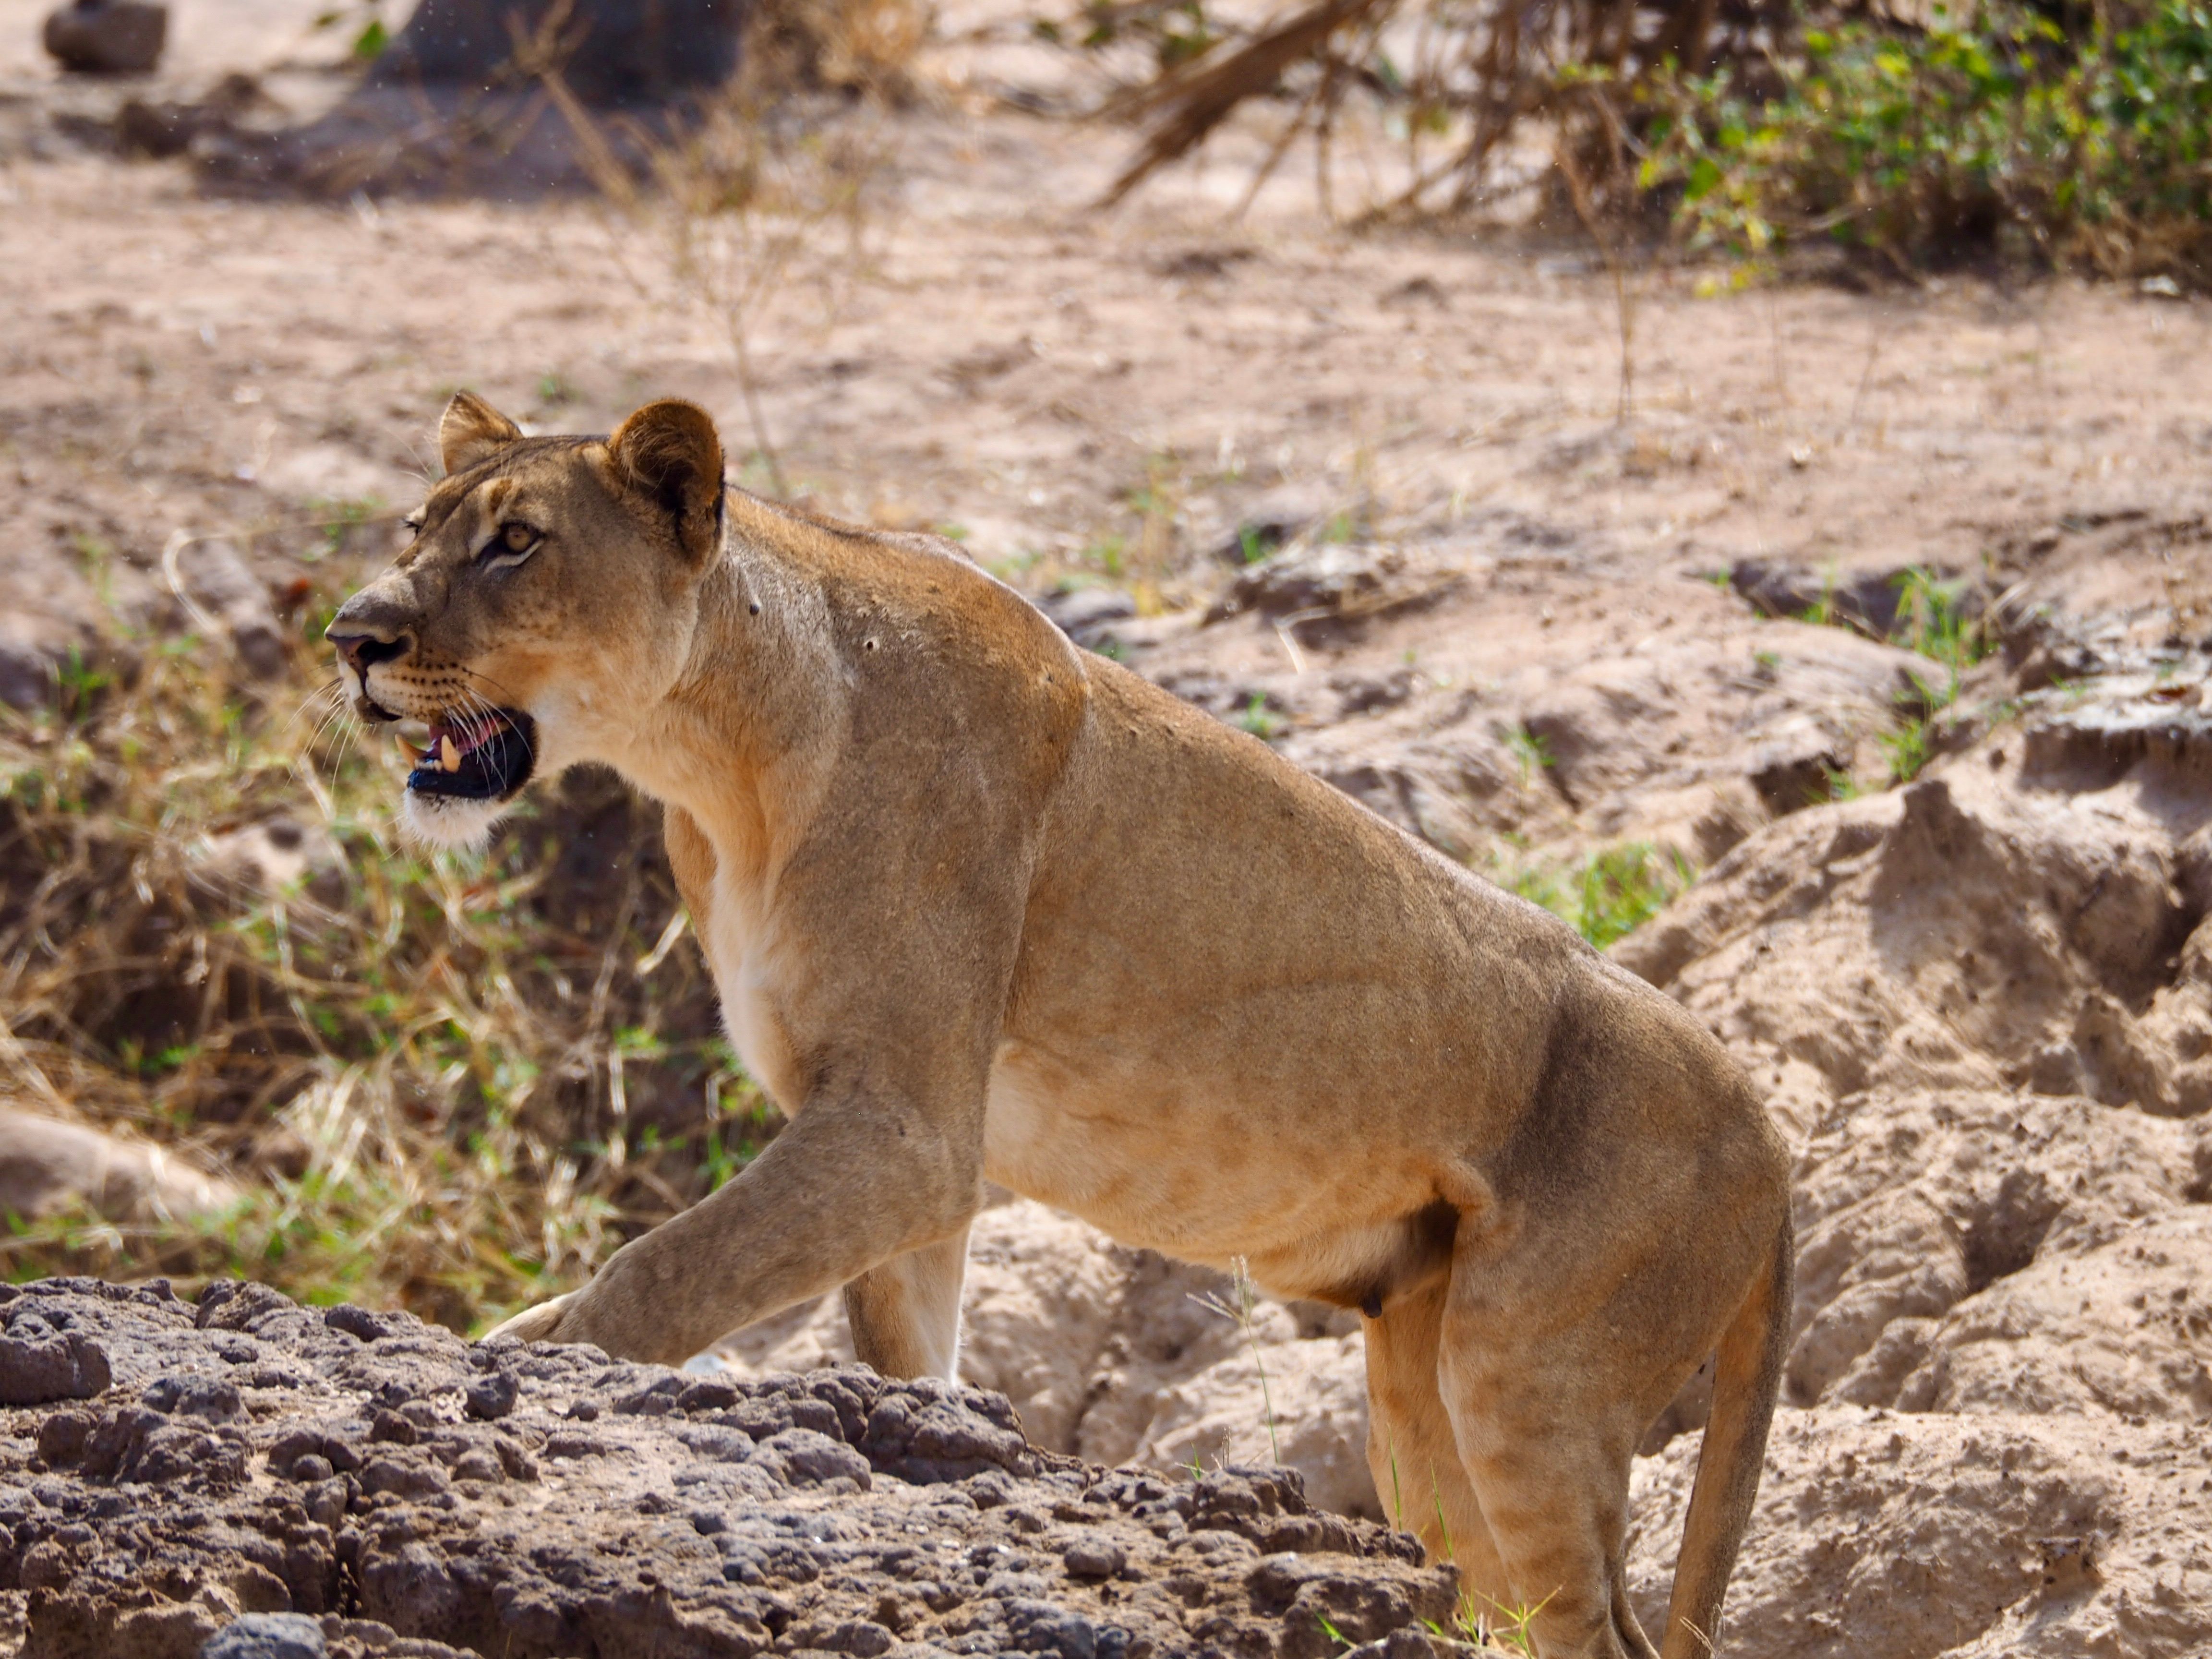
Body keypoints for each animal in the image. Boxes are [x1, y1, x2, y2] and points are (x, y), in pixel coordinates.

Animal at [327, 391, 1793, 1659]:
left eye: (518, 541)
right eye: (415, 527)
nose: (350, 637)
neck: (716, 763)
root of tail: (1777, 1142)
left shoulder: (906, 1131)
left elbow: (657, 1274)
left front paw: (508, 1366)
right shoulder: (898, 1155)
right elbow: (903, 1354)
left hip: (1528, 1376)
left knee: (1602, 1630)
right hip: (1422, 1394)